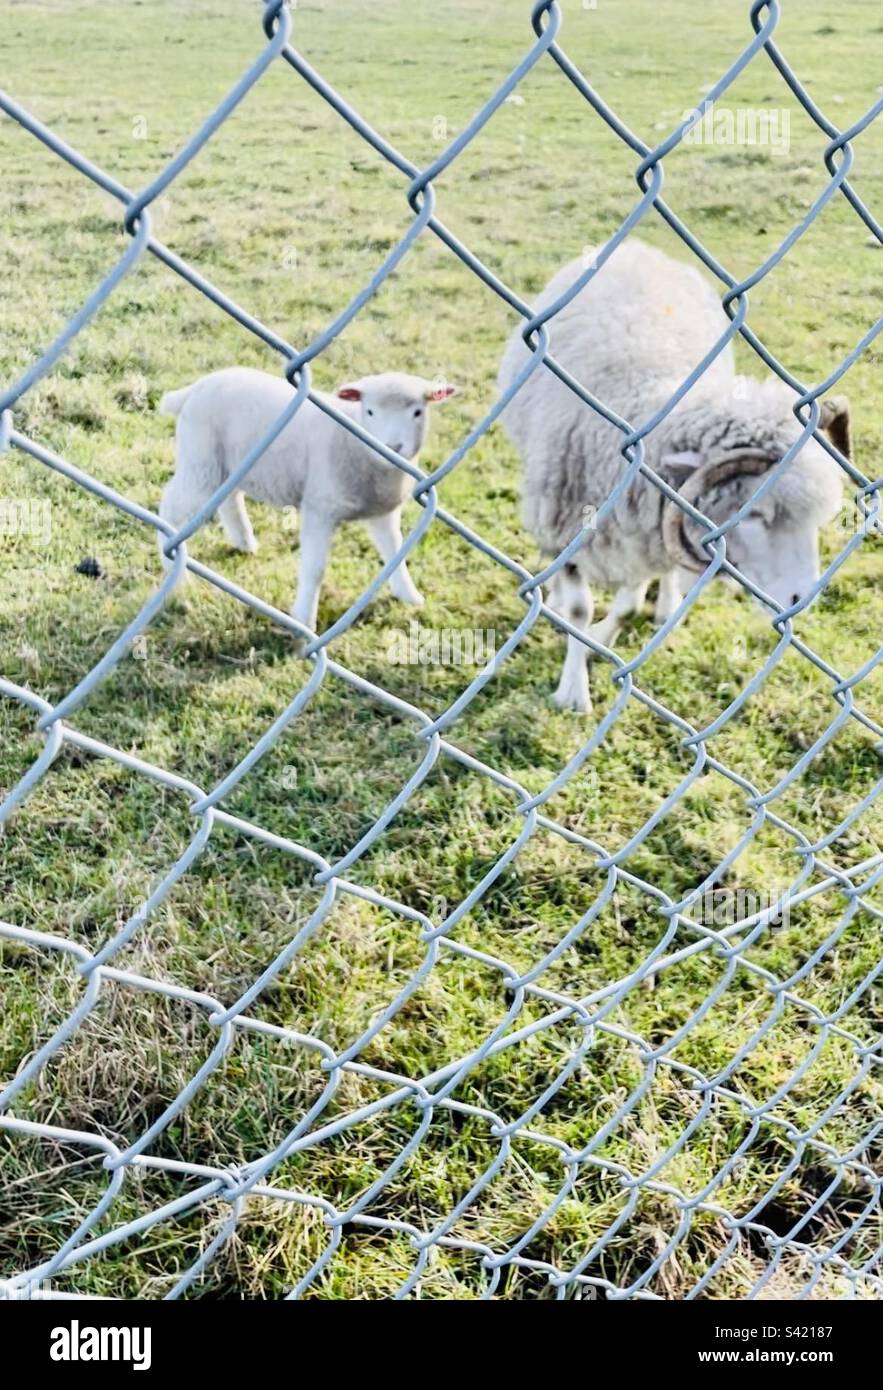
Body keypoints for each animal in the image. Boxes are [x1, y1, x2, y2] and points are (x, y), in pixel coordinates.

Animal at [158, 367, 457, 633]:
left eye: (417, 412)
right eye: (370, 411)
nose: (393, 447)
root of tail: (193, 389)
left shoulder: (382, 512)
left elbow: (396, 554)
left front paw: (410, 596)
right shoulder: (319, 508)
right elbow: (315, 570)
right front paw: (304, 619)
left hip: (227, 464)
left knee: (230, 498)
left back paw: (244, 542)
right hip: (201, 461)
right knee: (170, 509)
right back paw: (177, 577)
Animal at [498, 237, 851, 712]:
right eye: (756, 514)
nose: (800, 600)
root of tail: (638, 247)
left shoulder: (646, 523)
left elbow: (629, 603)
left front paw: (601, 640)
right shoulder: (567, 527)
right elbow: (578, 611)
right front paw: (573, 690)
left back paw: (667, 602)